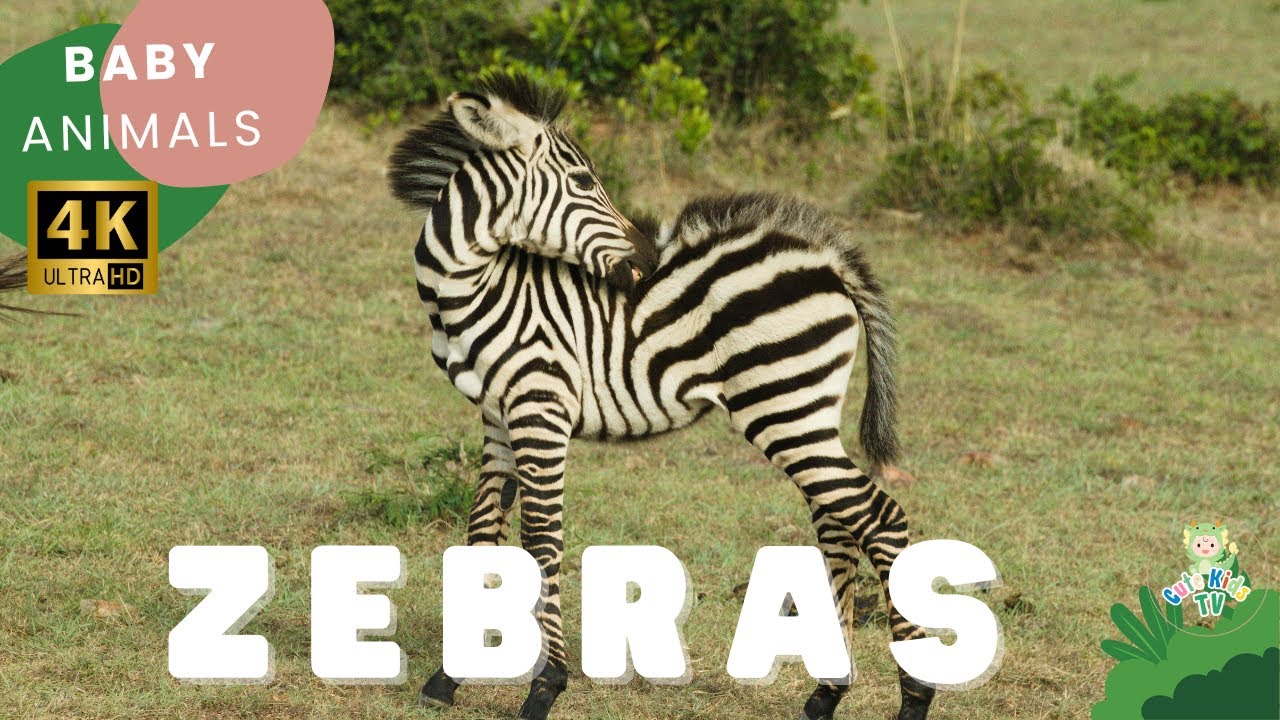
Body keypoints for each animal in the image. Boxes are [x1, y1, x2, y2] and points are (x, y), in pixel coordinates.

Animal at [388, 72, 935, 720]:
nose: (648, 261)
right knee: (838, 523)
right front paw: (453, 675)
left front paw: (546, 684)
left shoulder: (541, 407)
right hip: (805, 410)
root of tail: (829, 260)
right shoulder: (498, 416)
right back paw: (826, 693)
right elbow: (482, 535)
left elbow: (541, 539)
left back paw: (915, 696)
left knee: (881, 519)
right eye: (583, 181)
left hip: (782, 408)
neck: (478, 288)